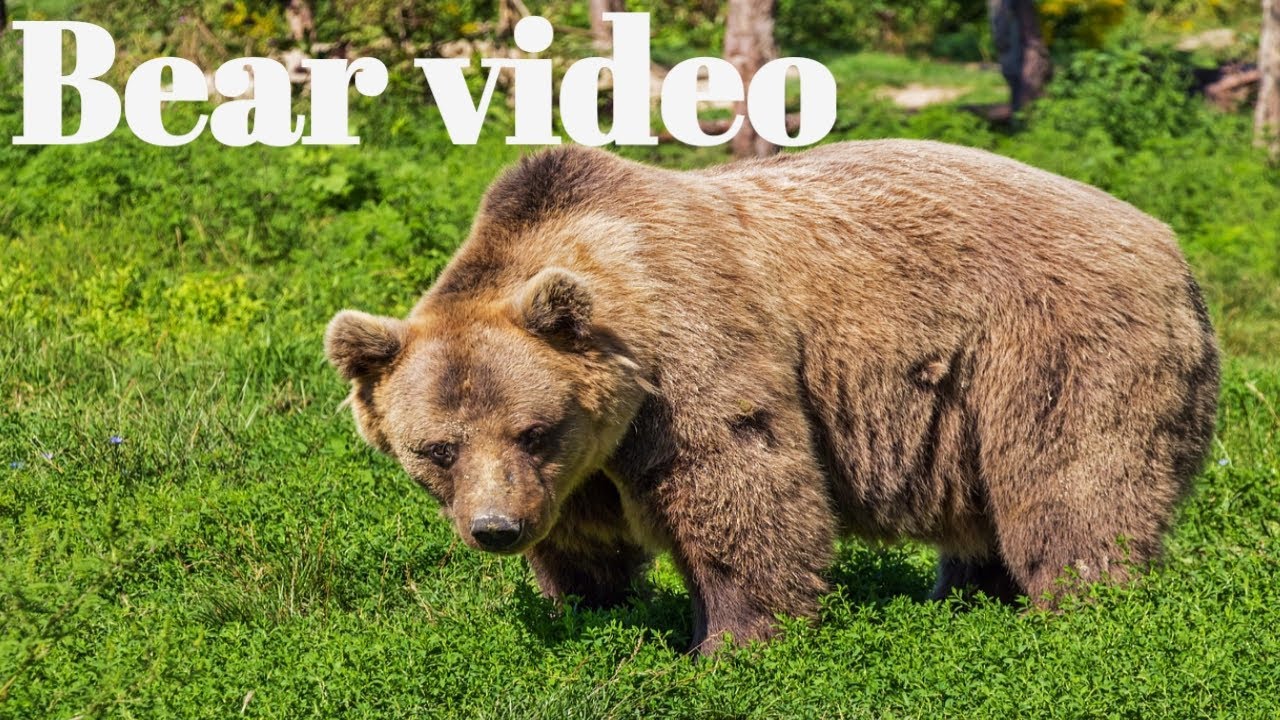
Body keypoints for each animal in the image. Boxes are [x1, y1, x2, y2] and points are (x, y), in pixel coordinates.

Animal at [325, 140, 1219, 654]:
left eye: (533, 429)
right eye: (436, 449)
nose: (496, 529)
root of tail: (1171, 245)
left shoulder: (690, 353)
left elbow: (739, 486)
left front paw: (730, 643)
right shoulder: (585, 464)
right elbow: (584, 539)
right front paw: (590, 610)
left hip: (1052, 346)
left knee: (1074, 483)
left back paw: (1080, 609)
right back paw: (967, 595)